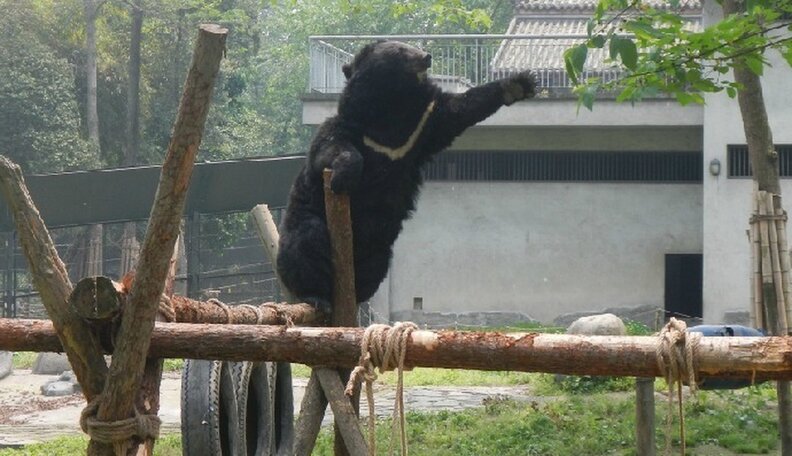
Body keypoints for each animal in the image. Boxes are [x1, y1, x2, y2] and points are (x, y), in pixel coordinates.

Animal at [277, 40, 536, 314]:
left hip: (376, 247)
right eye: (399, 50)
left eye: (410, 45)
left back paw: (356, 294)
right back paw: (316, 296)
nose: (427, 57)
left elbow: (459, 109)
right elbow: (329, 149)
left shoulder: (421, 125)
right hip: (307, 215)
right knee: (305, 244)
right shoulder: (349, 128)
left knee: (373, 267)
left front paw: (520, 83)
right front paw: (342, 178)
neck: (392, 106)